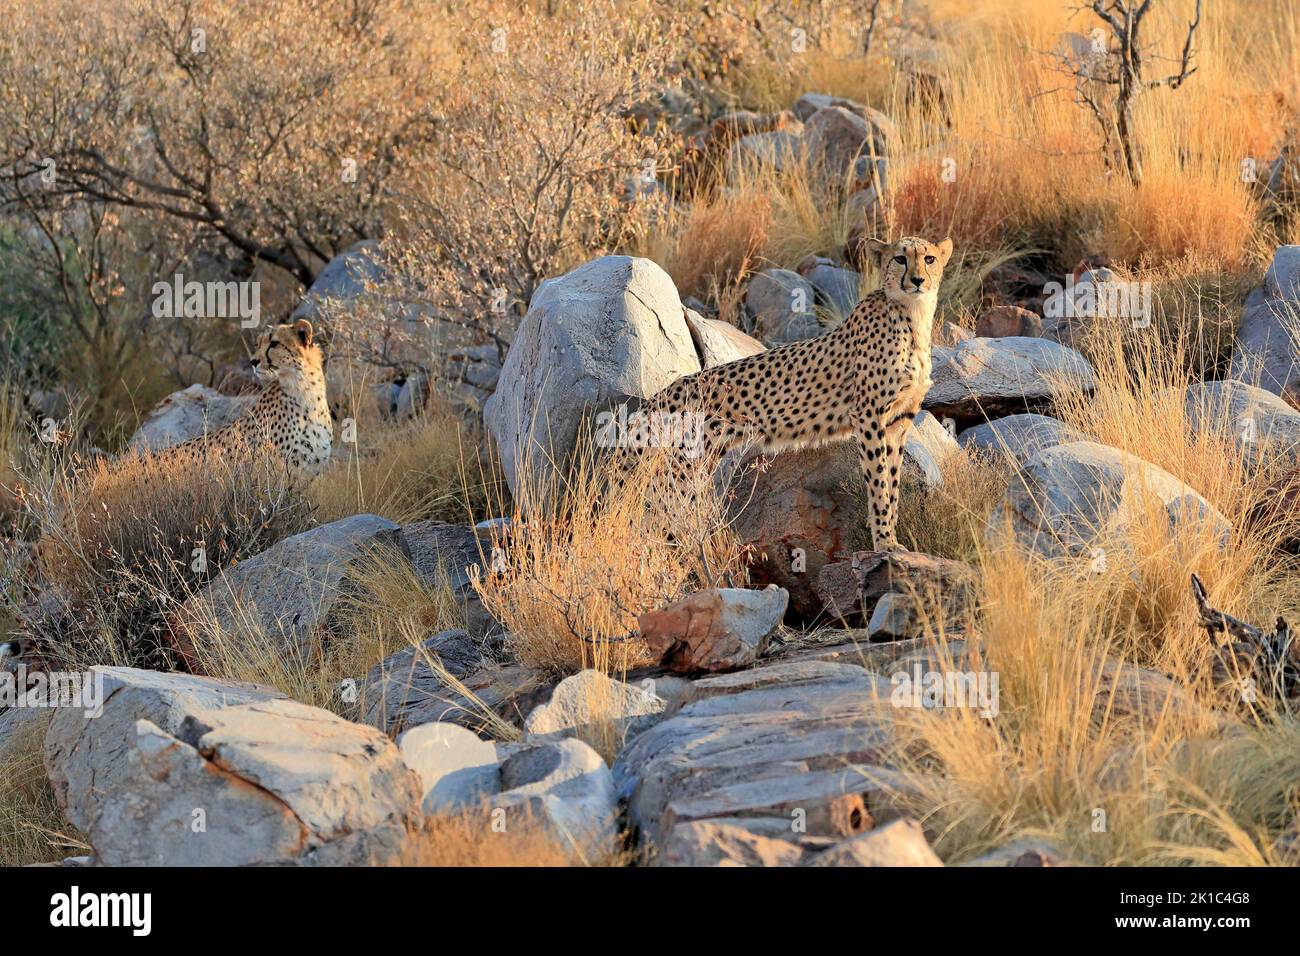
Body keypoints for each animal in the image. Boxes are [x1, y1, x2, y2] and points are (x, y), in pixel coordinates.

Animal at [609, 235, 954, 552]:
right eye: (900, 259)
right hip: (675, 483)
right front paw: (884, 543)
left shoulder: (898, 420)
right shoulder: (869, 416)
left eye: (930, 259)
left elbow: (892, 483)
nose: (918, 280)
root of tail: (655, 400)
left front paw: (891, 538)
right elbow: (879, 483)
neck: (912, 316)